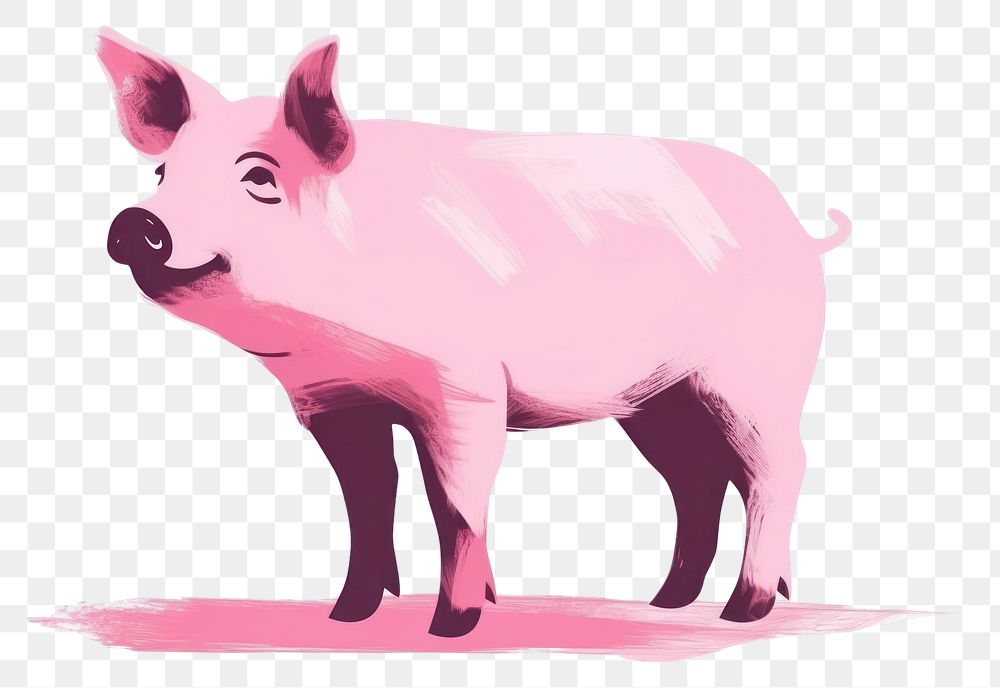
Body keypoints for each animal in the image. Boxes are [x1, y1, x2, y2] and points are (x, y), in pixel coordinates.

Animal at [95, 27, 851, 637]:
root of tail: (800, 232)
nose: (136, 221)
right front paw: (346, 616)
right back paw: (665, 603)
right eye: (163, 173)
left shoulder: (467, 389)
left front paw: (452, 626)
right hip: (657, 398)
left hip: (753, 377)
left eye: (259, 177)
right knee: (697, 479)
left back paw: (743, 611)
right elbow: (367, 500)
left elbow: (453, 505)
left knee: (776, 468)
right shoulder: (333, 402)